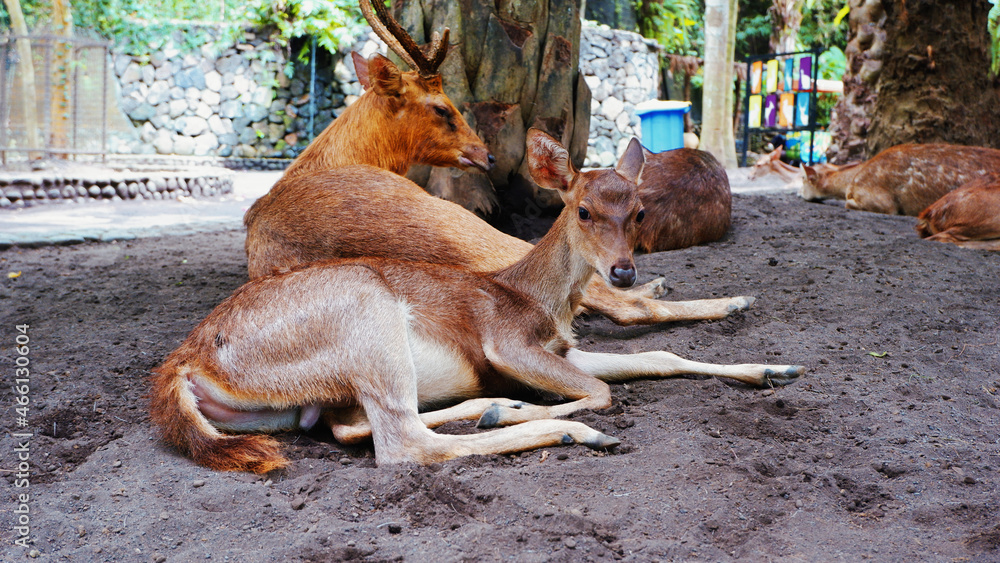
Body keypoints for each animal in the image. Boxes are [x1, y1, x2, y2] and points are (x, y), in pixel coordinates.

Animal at [151, 130, 805, 473]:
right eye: (582, 210)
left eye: (640, 211)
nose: (624, 270)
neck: (537, 300)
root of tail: (185, 362)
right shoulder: (506, 342)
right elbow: (602, 390)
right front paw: (563, 415)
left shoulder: (562, 348)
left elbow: (656, 359)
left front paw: (777, 368)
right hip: (365, 316)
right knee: (402, 443)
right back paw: (562, 430)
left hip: (304, 400)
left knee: (356, 427)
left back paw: (500, 407)